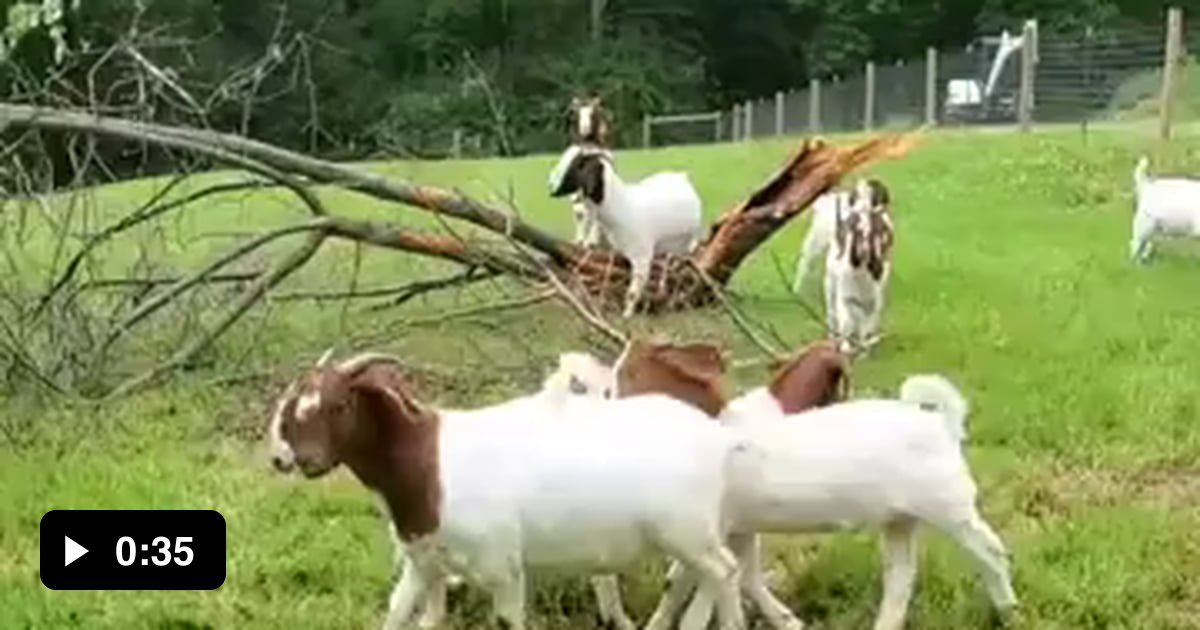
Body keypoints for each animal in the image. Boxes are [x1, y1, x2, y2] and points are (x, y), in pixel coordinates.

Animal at [267, 350, 748, 630]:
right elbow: (401, 613)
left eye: (338, 404)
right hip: (694, 533)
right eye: (293, 404)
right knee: (706, 573)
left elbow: (507, 621)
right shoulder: (423, 563)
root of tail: (718, 436)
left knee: (724, 571)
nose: (294, 459)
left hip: (687, 531)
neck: (429, 462)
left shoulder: (502, 568)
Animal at [548, 145, 703, 317]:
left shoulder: (642, 258)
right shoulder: (622, 255)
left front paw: (627, 316)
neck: (622, 205)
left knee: (679, 266)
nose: (550, 187)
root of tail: (681, 176)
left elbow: (632, 293)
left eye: (578, 164)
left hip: (686, 243)